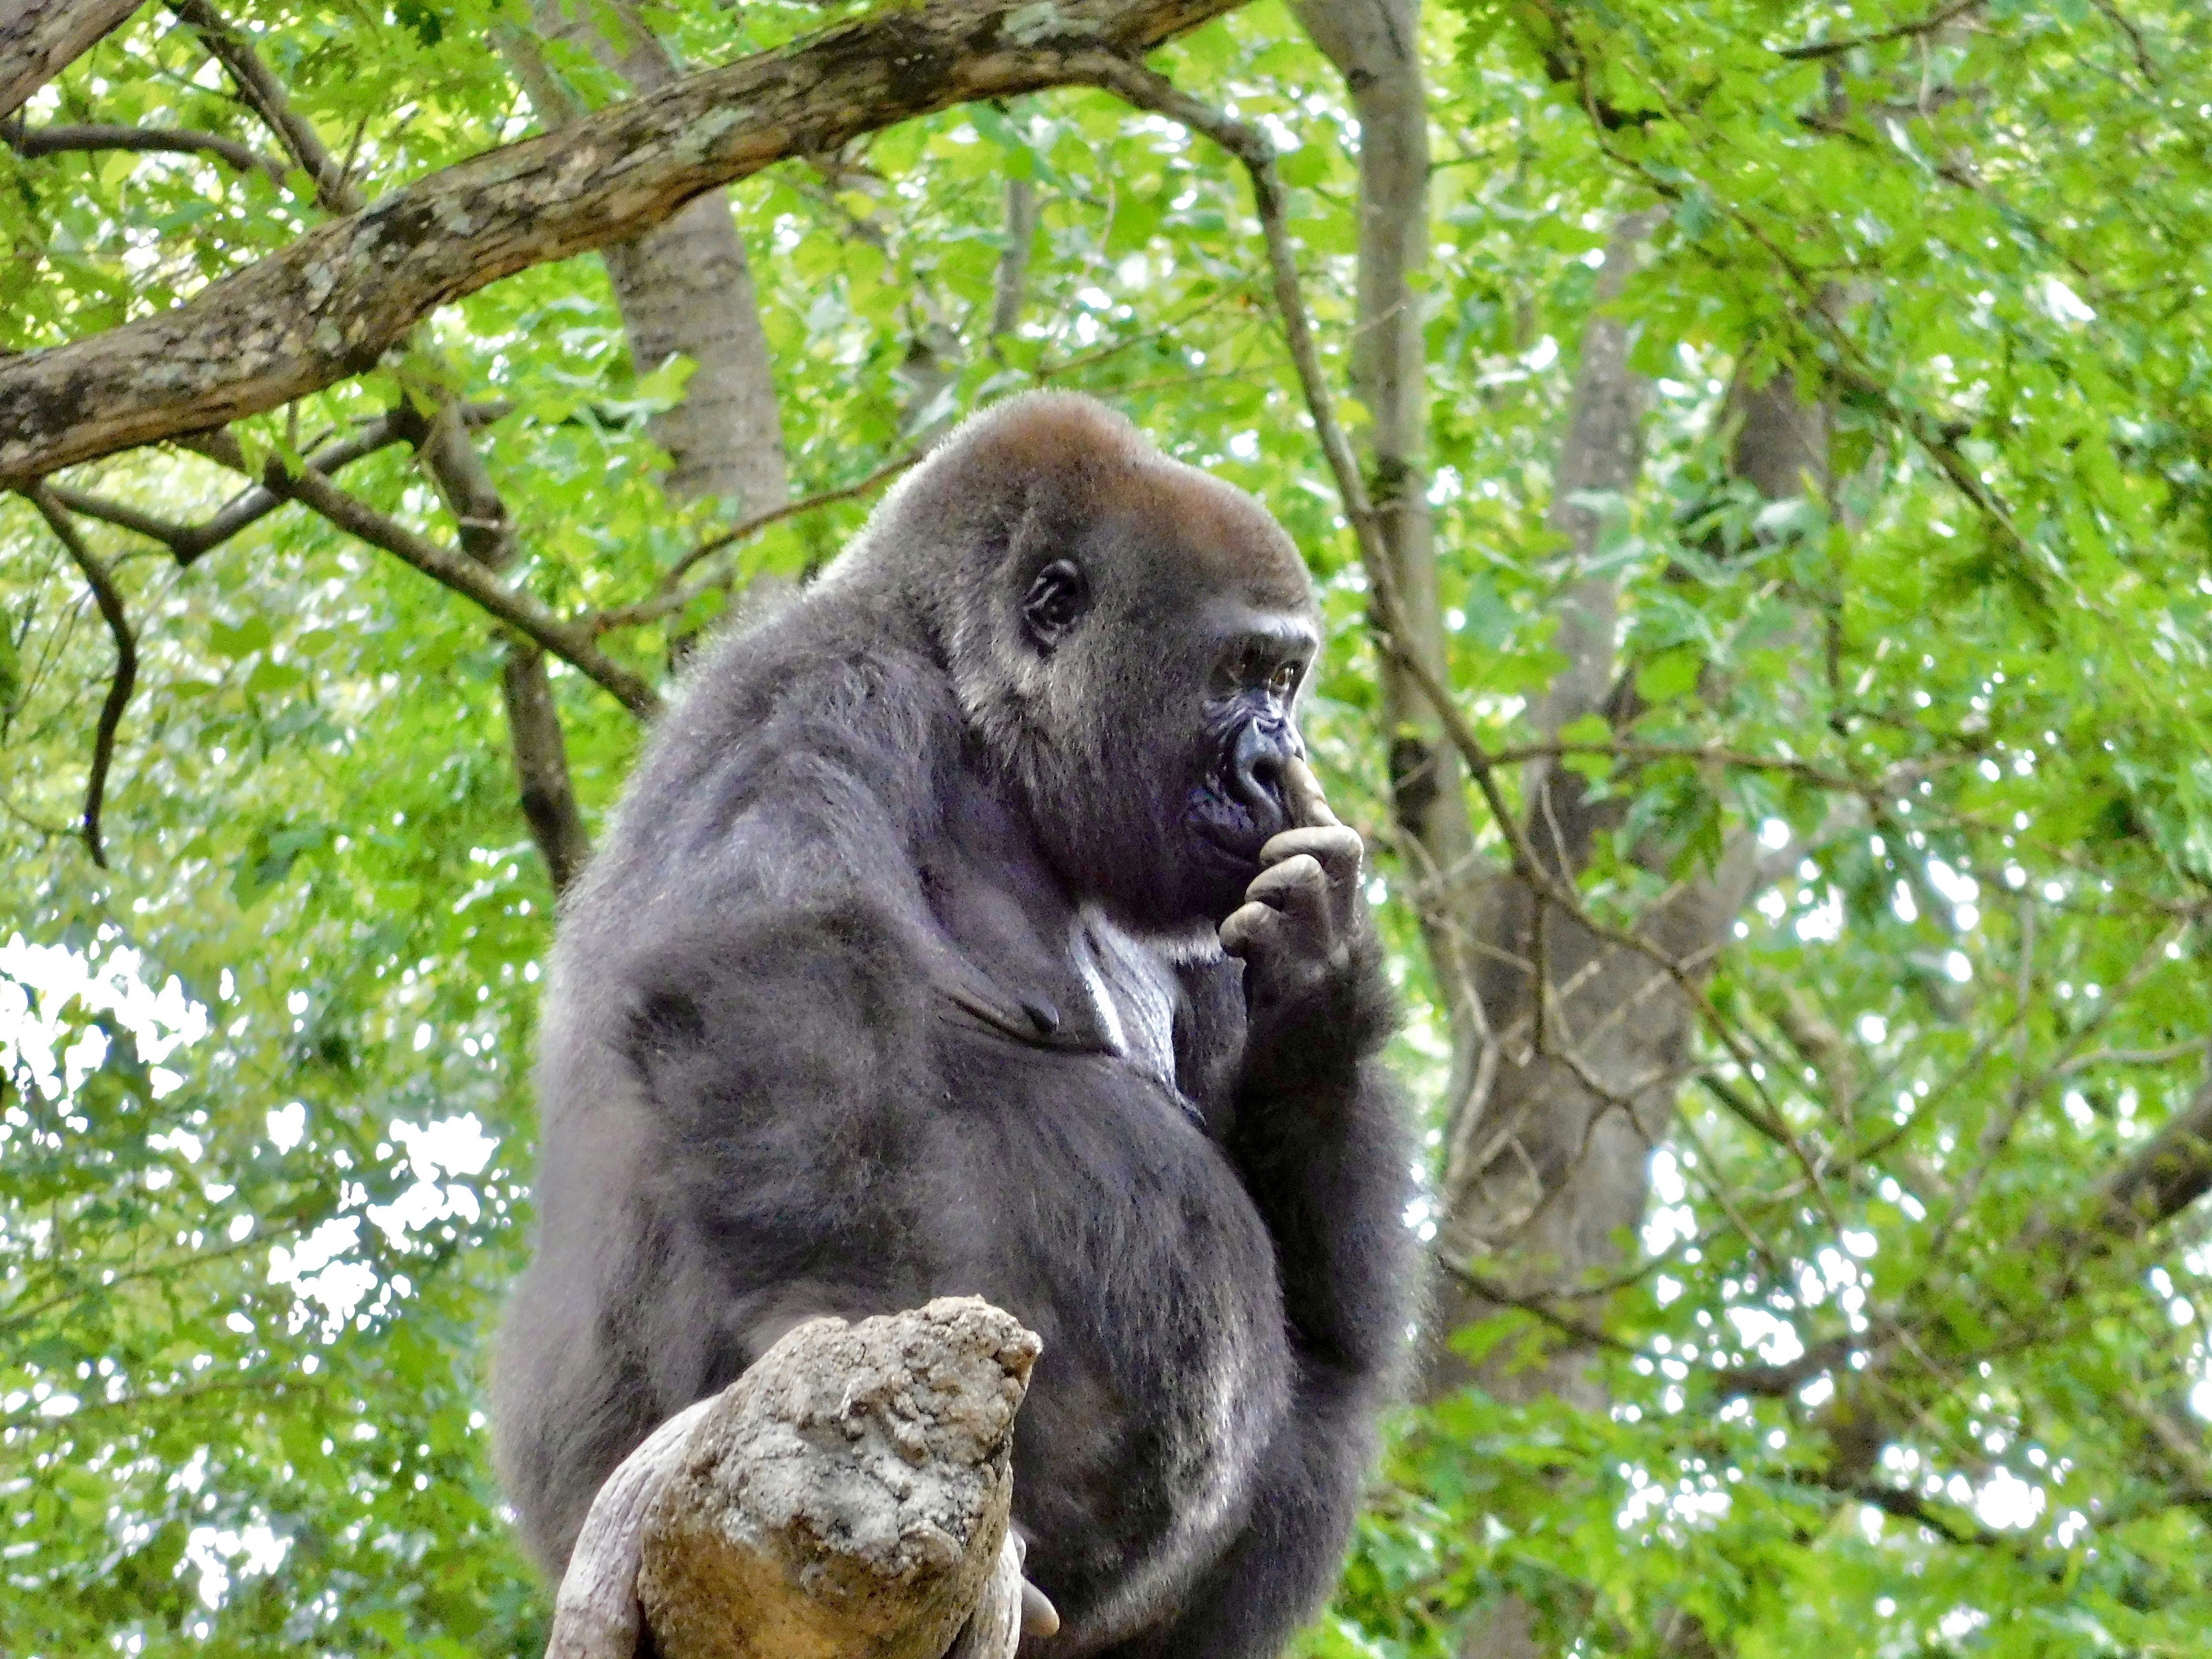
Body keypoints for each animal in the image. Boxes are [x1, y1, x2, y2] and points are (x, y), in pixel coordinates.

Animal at [492, 392, 1414, 1658]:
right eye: (1238, 673)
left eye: (1286, 676)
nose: (1281, 757)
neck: (975, 703)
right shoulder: (820, 683)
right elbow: (770, 968)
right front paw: (811, 1312)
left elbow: (1326, 1276)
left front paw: (1320, 971)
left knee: (1333, 1385)